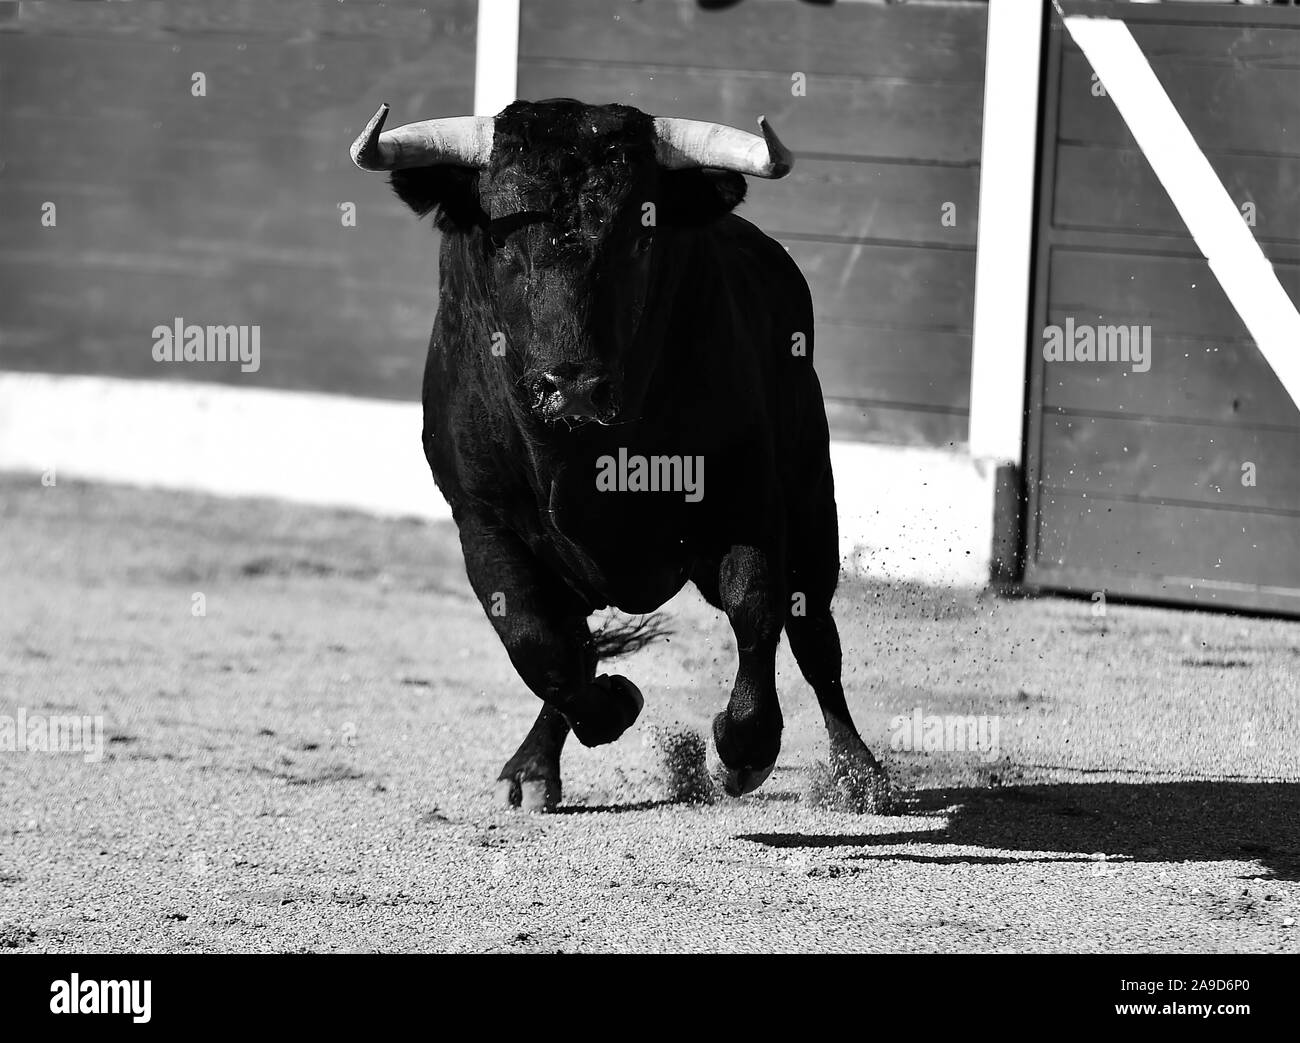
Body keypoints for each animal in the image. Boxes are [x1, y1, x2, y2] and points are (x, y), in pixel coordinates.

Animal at [350, 98, 894, 814]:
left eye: (640, 238)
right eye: (501, 238)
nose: (573, 385)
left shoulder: (746, 495)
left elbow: (756, 608)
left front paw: (746, 749)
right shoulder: (481, 517)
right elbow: (537, 641)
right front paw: (609, 707)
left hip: (810, 498)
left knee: (814, 634)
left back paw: (860, 773)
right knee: (569, 643)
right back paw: (535, 765)